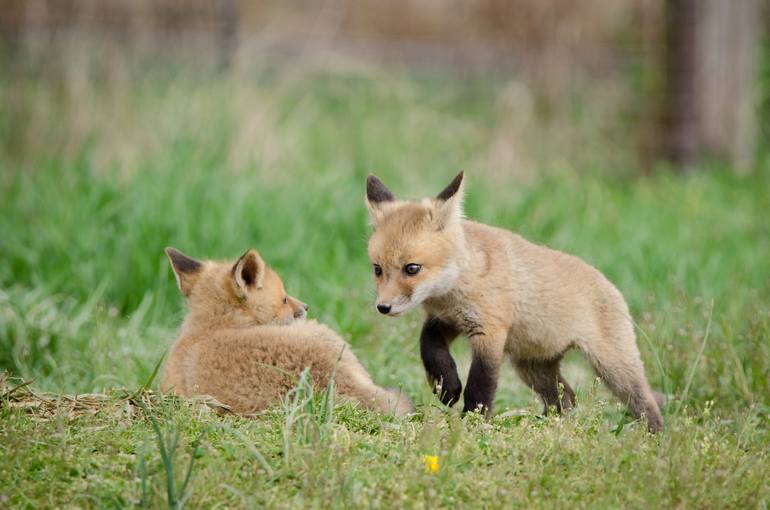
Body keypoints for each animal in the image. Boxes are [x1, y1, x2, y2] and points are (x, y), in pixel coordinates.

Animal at [365, 172, 665, 432]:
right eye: (377, 269)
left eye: (412, 268)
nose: (383, 307)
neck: (456, 285)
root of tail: (609, 282)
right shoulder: (445, 320)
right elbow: (428, 347)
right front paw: (446, 386)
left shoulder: (489, 330)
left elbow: (481, 383)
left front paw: (473, 420)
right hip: (532, 367)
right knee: (566, 399)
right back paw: (545, 425)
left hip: (614, 368)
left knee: (644, 403)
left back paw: (654, 437)